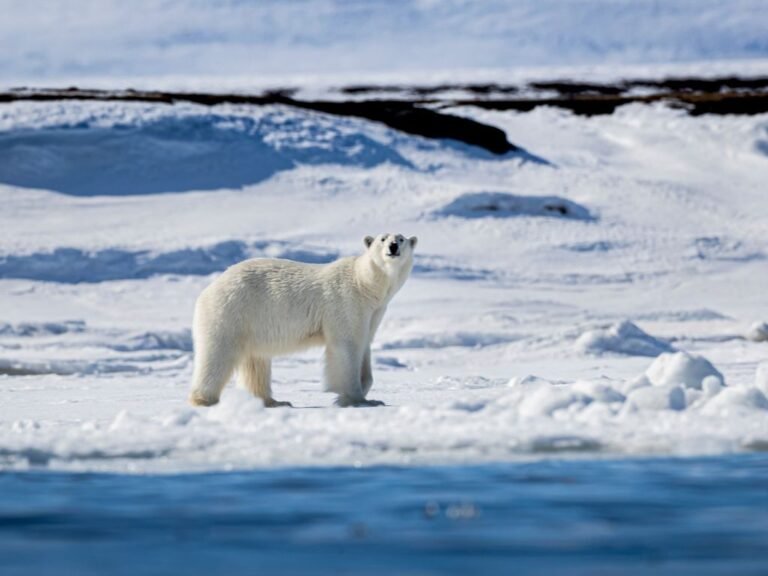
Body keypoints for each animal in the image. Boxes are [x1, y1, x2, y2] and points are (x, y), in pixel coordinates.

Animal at [189, 233, 417, 408]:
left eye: (401, 238)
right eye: (382, 238)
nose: (393, 246)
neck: (364, 284)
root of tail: (208, 290)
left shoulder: (374, 311)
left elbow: (365, 346)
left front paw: (366, 393)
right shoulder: (346, 302)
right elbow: (347, 346)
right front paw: (356, 399)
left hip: (250, 324)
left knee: (256, 362)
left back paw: (273, 401)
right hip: (232, 311)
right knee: (217, 354)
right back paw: (204, 399)